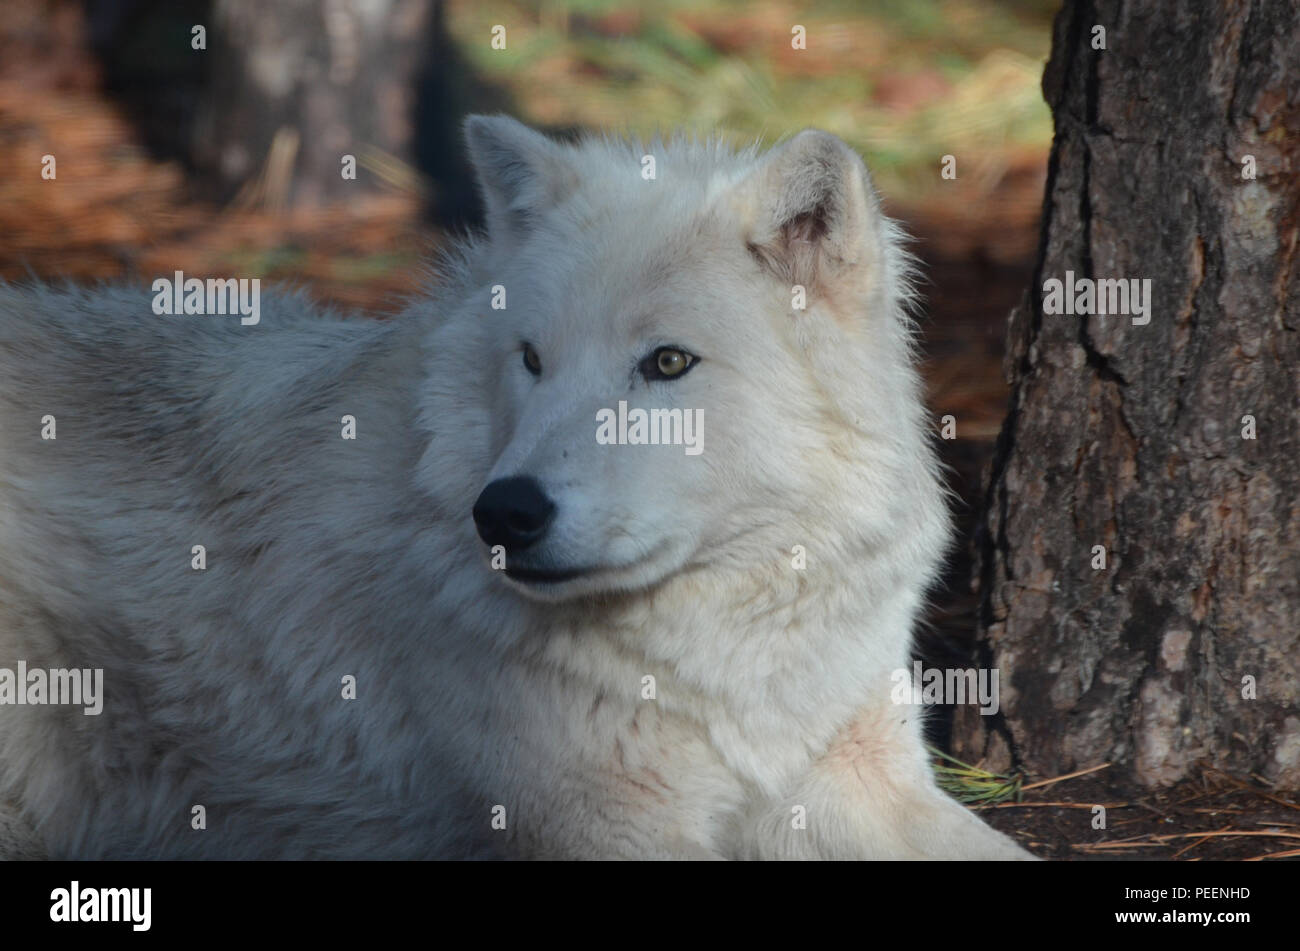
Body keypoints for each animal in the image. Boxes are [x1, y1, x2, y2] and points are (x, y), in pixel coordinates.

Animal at [0, 115, 1033, 859]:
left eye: (667, 362)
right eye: (532, 359)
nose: (503, 512)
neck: (722, 650)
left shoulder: (859, 774)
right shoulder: (601, 826)